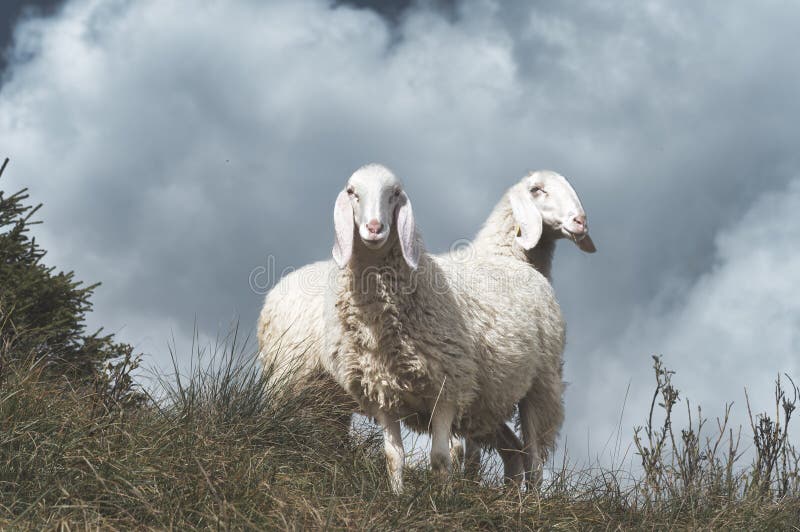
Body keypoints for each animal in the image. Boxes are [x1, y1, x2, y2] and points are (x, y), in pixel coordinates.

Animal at [320, 163, 562, 493]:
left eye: (395, 193)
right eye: (352, 192)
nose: (374, 228)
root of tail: (522, 266)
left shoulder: (448, 388)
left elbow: (440, 458)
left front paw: (444, 497)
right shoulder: (382, 392)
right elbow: (393, 457)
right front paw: (397, 496)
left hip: (541, 383)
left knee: (534, 457)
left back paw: (533, 500)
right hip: (488, 400)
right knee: (513, 449)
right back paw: (512, 497)